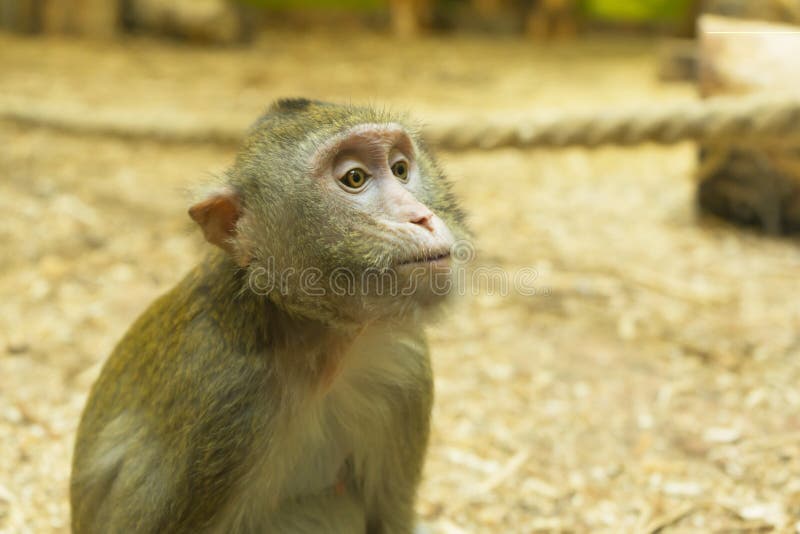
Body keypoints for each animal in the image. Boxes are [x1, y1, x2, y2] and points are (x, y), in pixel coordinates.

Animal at [70, 98, 468, 533]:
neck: (318, 346)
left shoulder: (407, 369)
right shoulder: (225, 398)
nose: (422, 217)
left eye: (400, 169)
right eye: (355, 178)